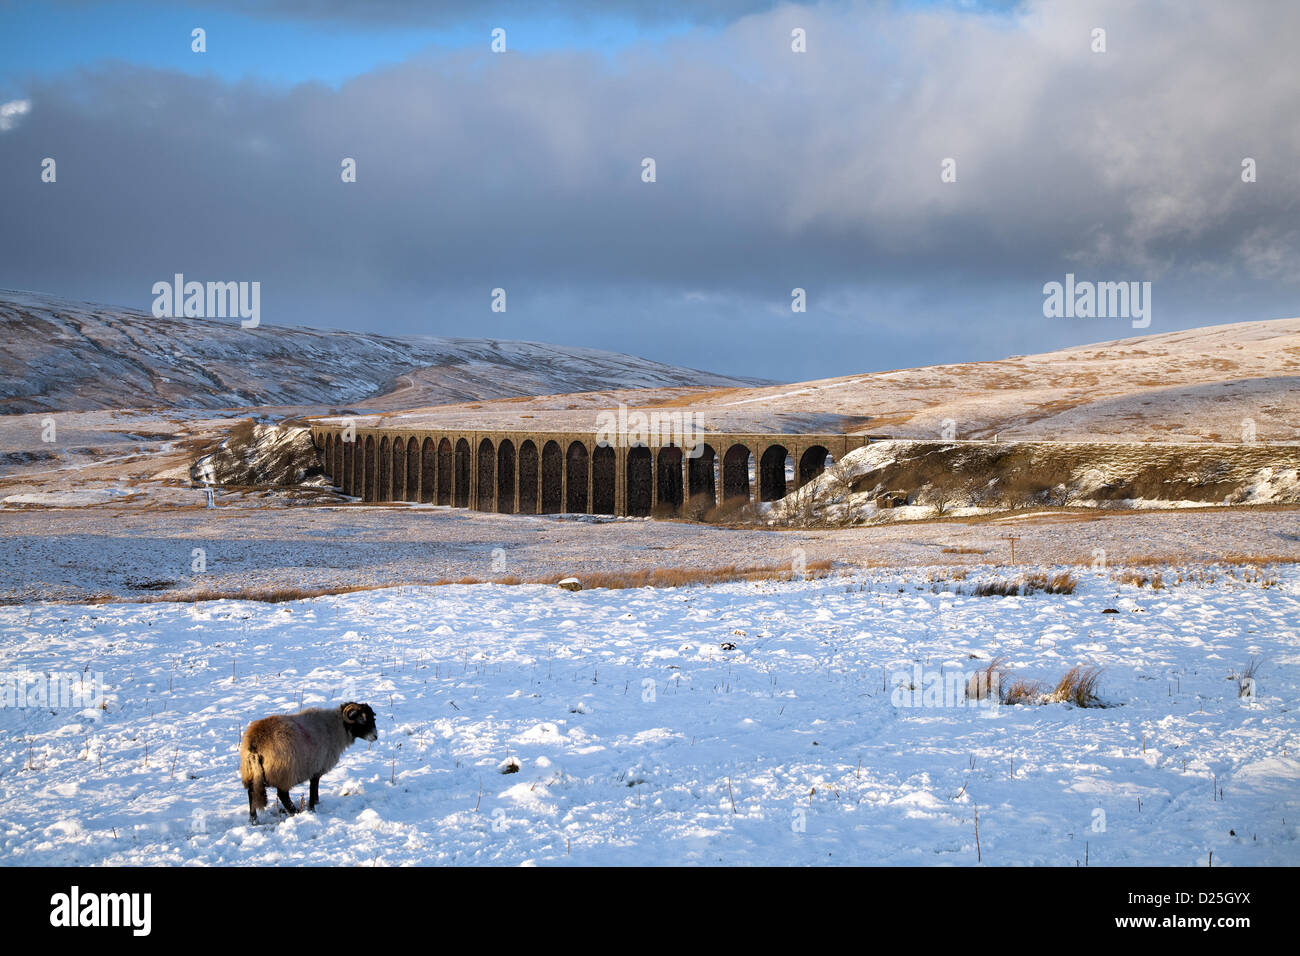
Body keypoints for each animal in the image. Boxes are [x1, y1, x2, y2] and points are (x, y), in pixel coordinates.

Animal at [239, 701, 377, 824]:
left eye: (372, 717)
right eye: (362, 719)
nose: (375, 737)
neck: (336, 727)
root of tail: (256, 743)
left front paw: (316, 804)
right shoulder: (316, 768)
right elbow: (313, 788)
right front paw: (312, 808)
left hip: (251, 773)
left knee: (251, 793)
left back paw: (253, 820)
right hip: (284, 773)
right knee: (283, 795)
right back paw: (295, 812)